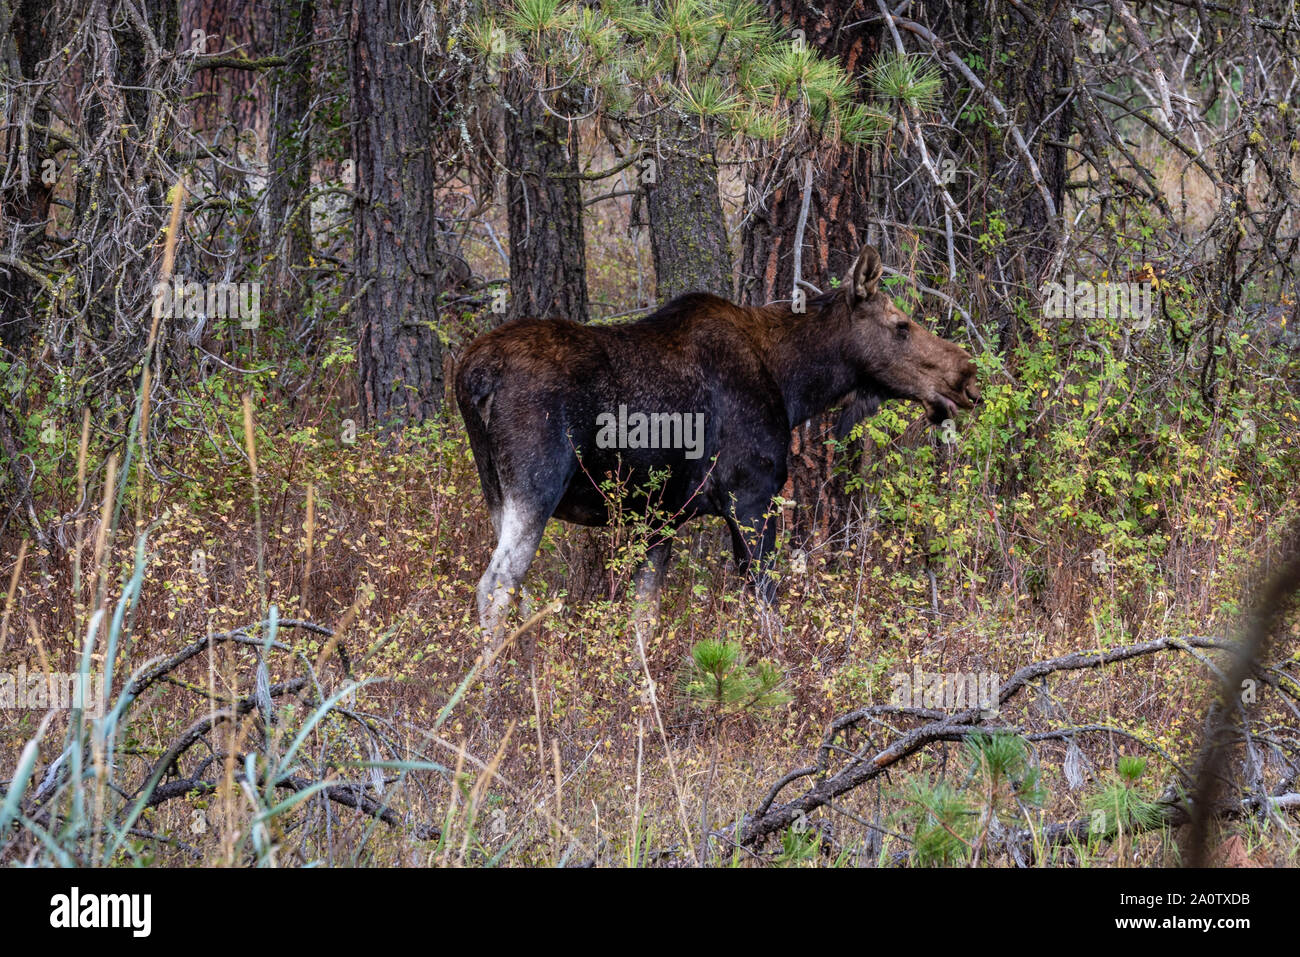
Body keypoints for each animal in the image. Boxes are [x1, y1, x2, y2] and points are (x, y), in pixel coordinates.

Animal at [455, 245, 980, 635]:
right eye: (901, 326)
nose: (967, 375)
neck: (794, 386)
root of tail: (472, 377)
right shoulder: (750, 495)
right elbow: (766, 607)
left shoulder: (660, 517)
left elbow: (643, 618)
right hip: (536, 485)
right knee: (495, 586)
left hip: (495, 490)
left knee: (514, 587)